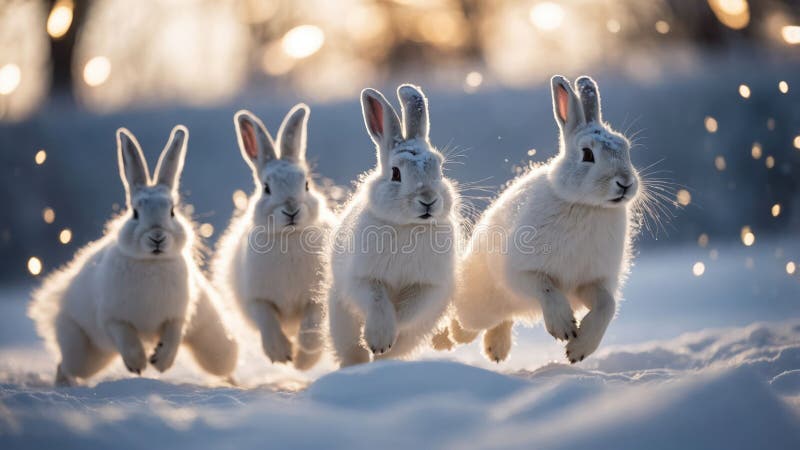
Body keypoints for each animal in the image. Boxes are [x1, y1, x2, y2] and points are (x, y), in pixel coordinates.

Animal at [29, 126, 238, 386]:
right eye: (135, 213)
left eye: (172, 211)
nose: (157, 237)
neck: (151, 263)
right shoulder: (114, 318)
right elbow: (127, 339)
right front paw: (138, 365)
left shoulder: (177, 316)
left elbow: (173, 337)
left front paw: (161, 362)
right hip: (81, 348)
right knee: (65, 365)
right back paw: (63, 385)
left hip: (213, 341)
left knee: (222, 363)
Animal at [212, 104, 335, 371]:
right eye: (266, 188)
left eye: (306, 184)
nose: (291, 210)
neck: (288, 236)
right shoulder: (257, 299)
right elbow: (266, 320)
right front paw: (280, 354)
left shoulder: (315, 298)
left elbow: (312, 322)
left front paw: (304, 359)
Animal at [327, 84, 460, 367]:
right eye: (396, 173)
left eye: (440, 169)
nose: (428, 200)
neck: (407, 226)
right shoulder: (362, 279)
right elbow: (378, 301)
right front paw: (378, 339)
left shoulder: (428, 288)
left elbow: (406, 312)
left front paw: (386, 339)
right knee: (350, 349)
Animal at [449, 75, 639, 364]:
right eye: (587, 154)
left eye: (626, 148)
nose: (625, 183)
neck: (585, 205)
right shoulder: (522, 271)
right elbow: (545, 288)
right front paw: (563, 328)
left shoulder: (590, 282)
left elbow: (607, 305)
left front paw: (578, 349)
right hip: (481, 300)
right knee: (465, 321)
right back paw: (448, 339)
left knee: (501, 320)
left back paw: (497, 350)